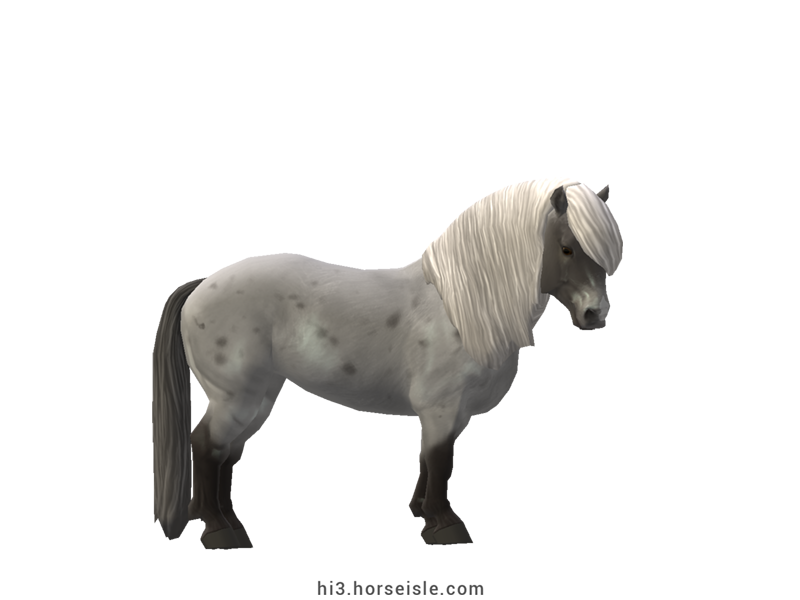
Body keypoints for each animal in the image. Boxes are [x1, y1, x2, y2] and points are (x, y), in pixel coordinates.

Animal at [152, 178, 622, 545]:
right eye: (567, 248)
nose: (594, 313)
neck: (459, 305)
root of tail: (200, 287)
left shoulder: (447, 411)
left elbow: (430, 459)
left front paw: (425, 515)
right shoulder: (440, 404)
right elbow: (441, 459)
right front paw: (446, 523)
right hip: (231, 397)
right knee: (204, 446)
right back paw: (217, 528)